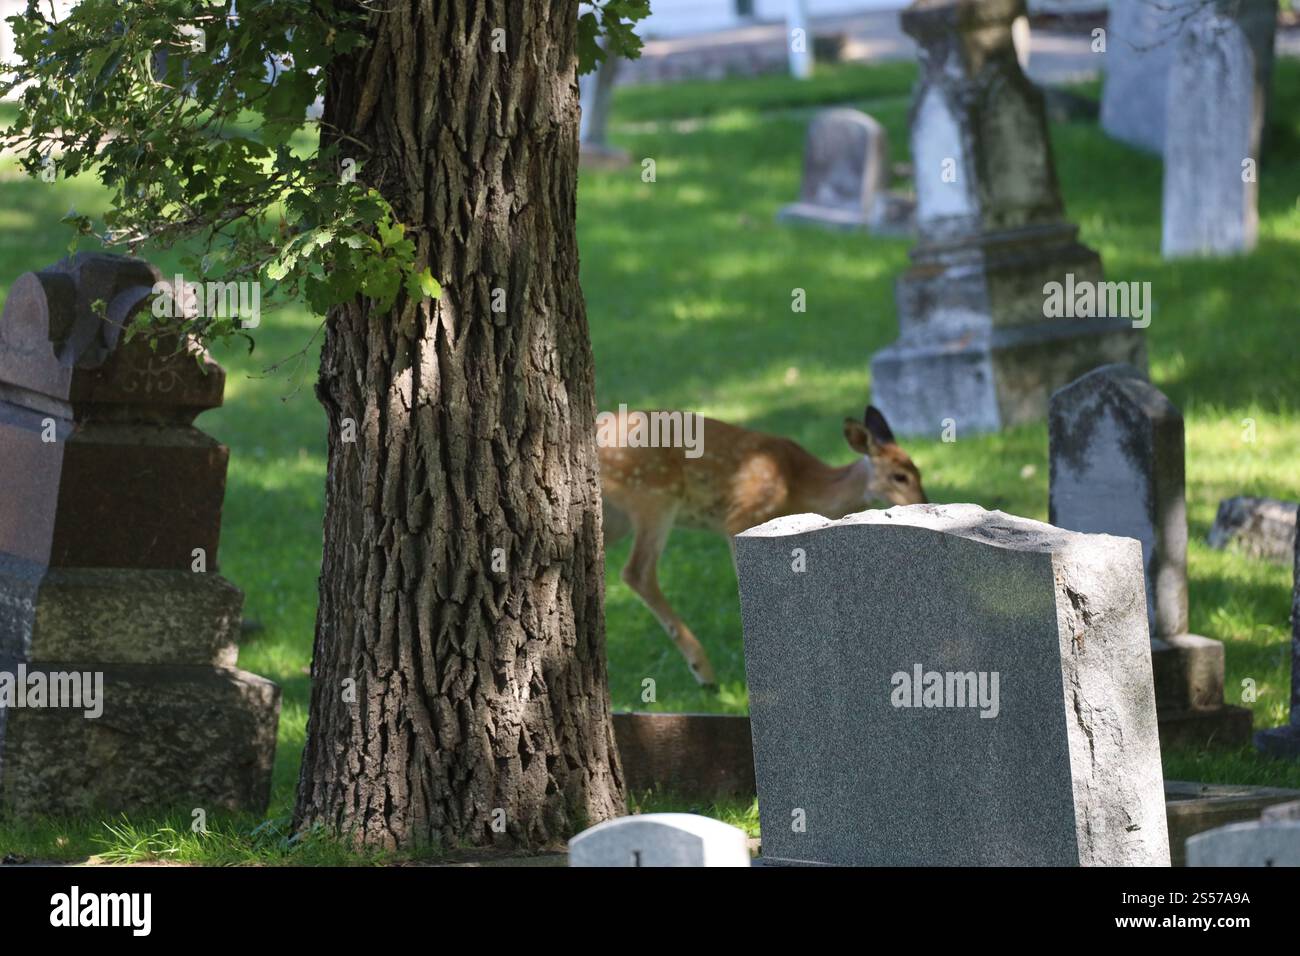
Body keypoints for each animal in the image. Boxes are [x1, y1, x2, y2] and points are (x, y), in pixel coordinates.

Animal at [598, 404, 927, 687]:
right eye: (899, 476)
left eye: (919, 471)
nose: (924, 502)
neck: (799, 485)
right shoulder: (740, 515)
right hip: (654, 494)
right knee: (637, 572)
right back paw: (704, 673)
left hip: (618, 517)